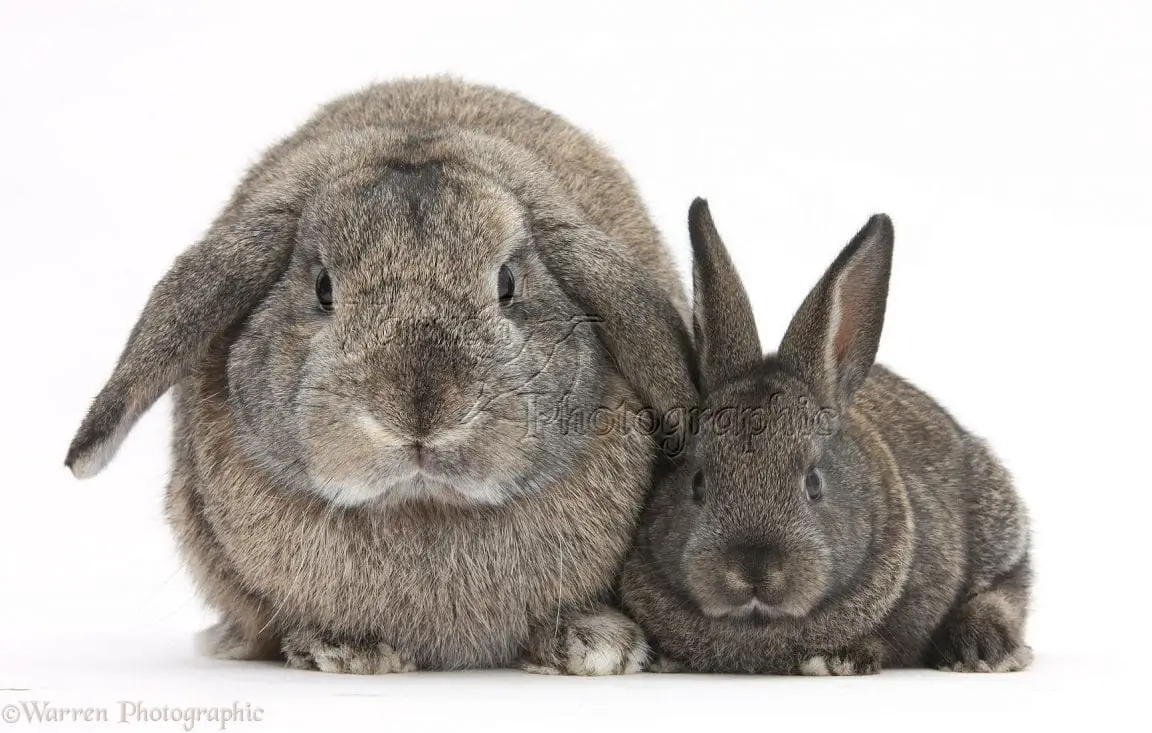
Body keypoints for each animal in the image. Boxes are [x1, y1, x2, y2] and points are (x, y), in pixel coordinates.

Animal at [64, 78, 696, 675]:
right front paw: (348, 650)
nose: (419, 414)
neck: (423, 506)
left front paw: (596, 646)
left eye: (507, 283)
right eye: (323, 288)